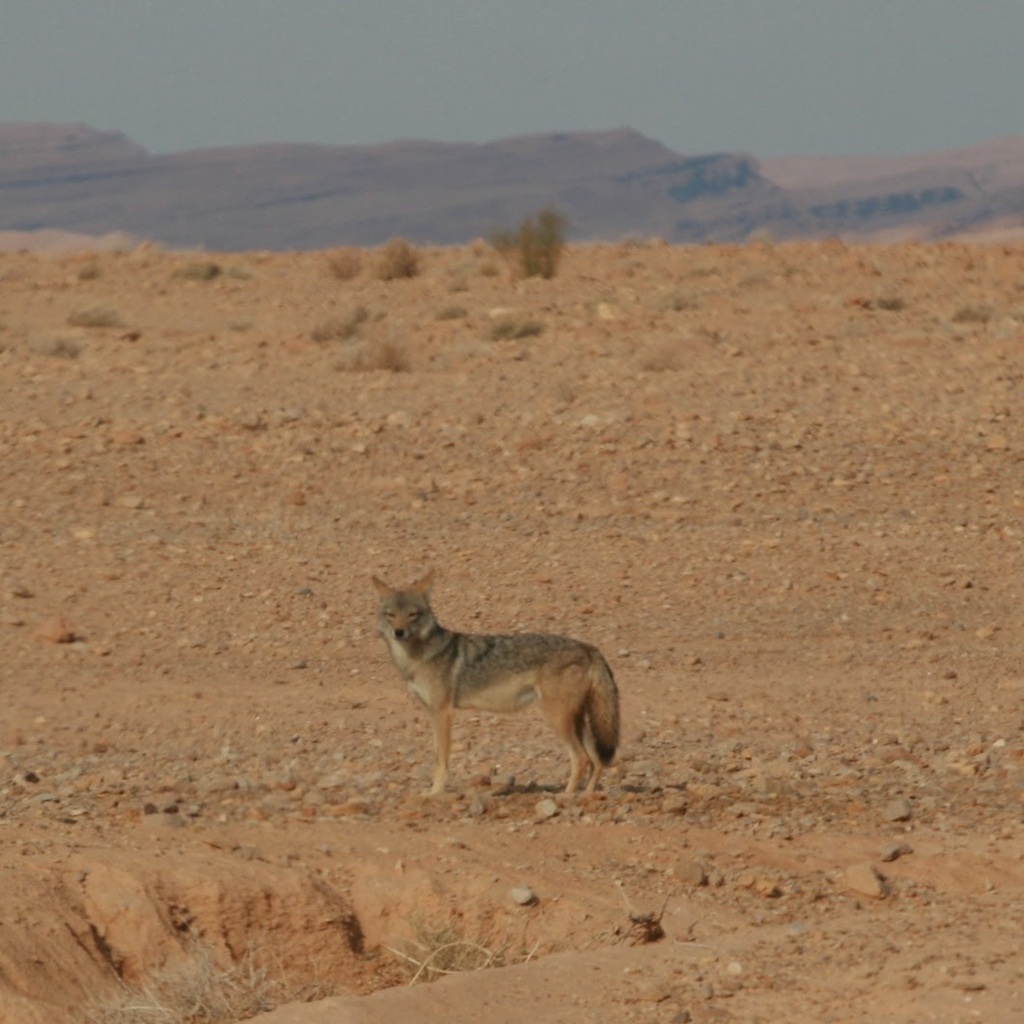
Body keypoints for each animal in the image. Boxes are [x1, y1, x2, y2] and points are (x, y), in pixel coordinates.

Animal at [372, 570, 620, 796]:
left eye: (412, 615)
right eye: (391, 614)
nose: (399, 632)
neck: (416, 658)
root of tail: (589, 647)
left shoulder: (443, 713)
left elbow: (442, 761)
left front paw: (435, 794)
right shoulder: (432, 712)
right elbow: (436, 755)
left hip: (559, 720)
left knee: (582, 759)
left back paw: (566, 797)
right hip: (577, 721)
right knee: (597, 760)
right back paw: (588, 796)